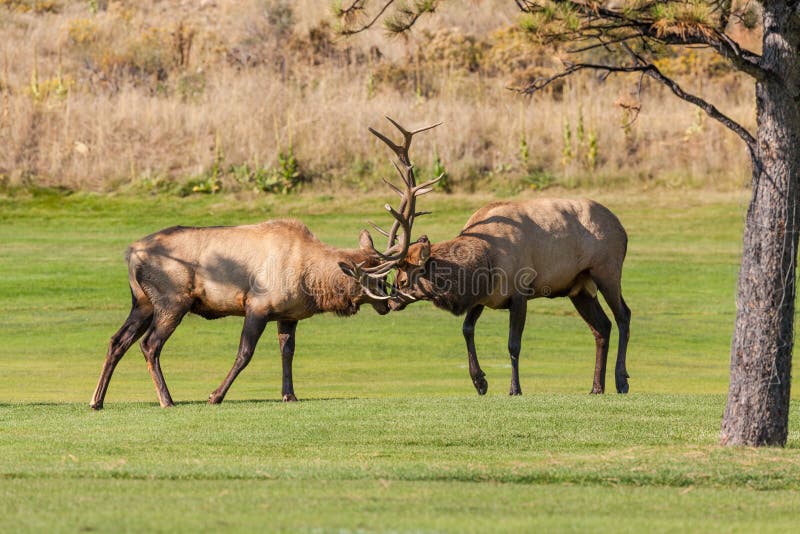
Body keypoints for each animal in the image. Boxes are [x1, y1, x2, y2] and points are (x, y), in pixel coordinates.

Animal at [89, 118, 439, 410]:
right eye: (377, 278)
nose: (392, 303)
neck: (311, 279)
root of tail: (131, 253)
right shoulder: (257, 304)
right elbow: (245, 353)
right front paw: (215, 395)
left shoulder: (289, 314)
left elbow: (288, 351)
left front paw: (290, 394)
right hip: (172, 299)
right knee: (149, 345)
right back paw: (166, 399)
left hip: (142, 301)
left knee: (117, 340)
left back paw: (97, 400)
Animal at [348, 130, 630, 395]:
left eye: (404, 279)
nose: (391, 303)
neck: (482, 264)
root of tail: (622, 228)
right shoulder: (482, 297)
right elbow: (466, 329)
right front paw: (480, 382)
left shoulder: (520, 292)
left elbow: (513, 344)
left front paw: (514, 388)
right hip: (578, 287)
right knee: (602, 327)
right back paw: (596, 386)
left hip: (607, 269)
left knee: (622, 316)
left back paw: (621, 380)